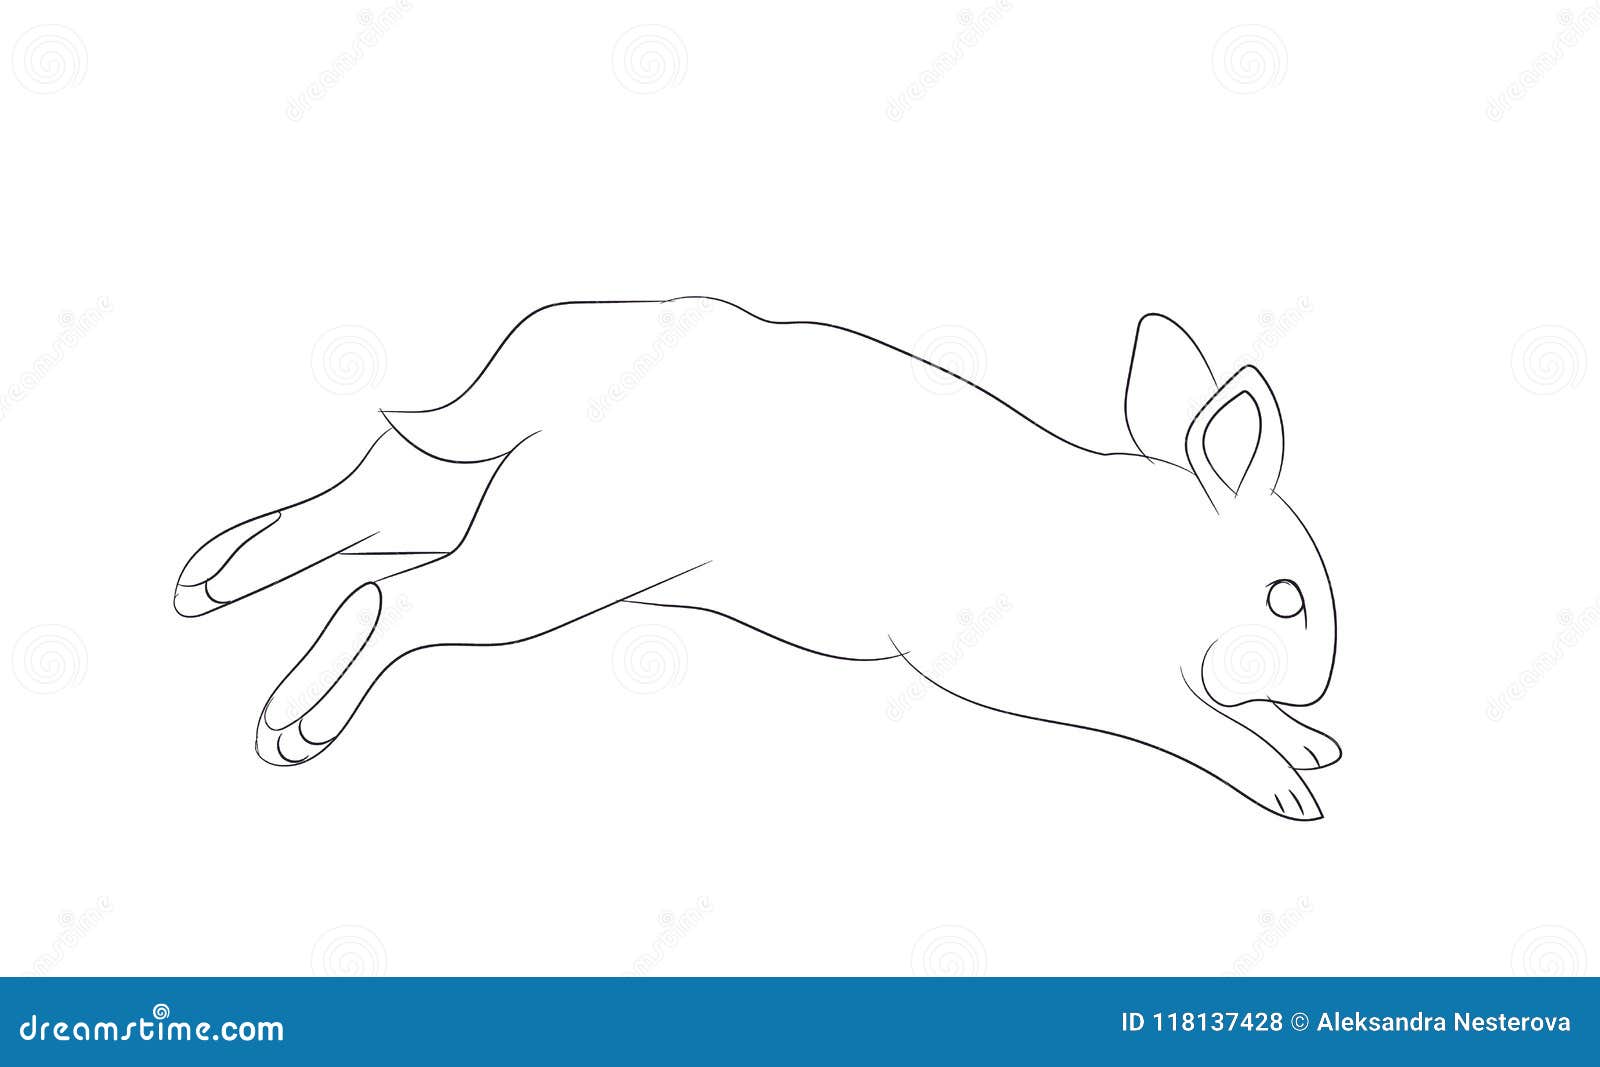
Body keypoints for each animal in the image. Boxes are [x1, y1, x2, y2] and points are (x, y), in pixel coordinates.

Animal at [175, 297, 1338, 819]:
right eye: (1286, 598)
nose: (1321, 683)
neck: (1141, 555)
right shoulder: (1041, 668)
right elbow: (1185, 721)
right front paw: (1288, 785)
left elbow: (1213, 703)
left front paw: (1307, 742)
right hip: (552, 566)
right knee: (396, 596)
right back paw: (293, 727)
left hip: (486, 510)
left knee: (368, 503)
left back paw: (207, 578)